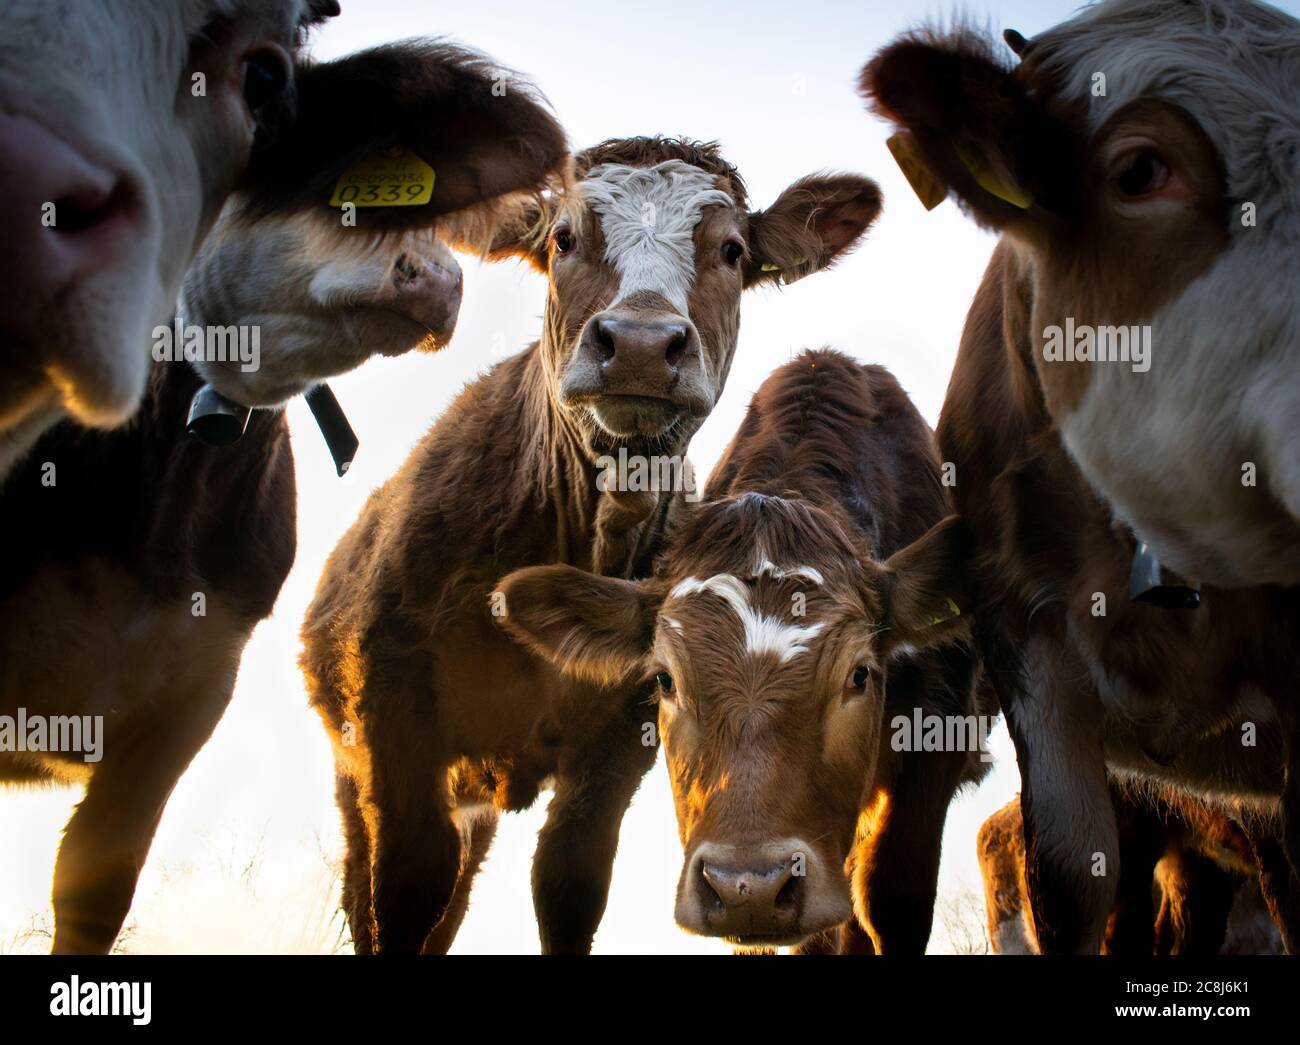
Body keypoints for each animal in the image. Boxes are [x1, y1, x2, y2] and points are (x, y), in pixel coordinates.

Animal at [299, 140, 883, 954]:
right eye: (562, 239)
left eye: (732, 251)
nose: (639, 344)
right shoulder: (392, 714)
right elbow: (406, 886)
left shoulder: (619, 745)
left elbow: (569, 886)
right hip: (353, 766)